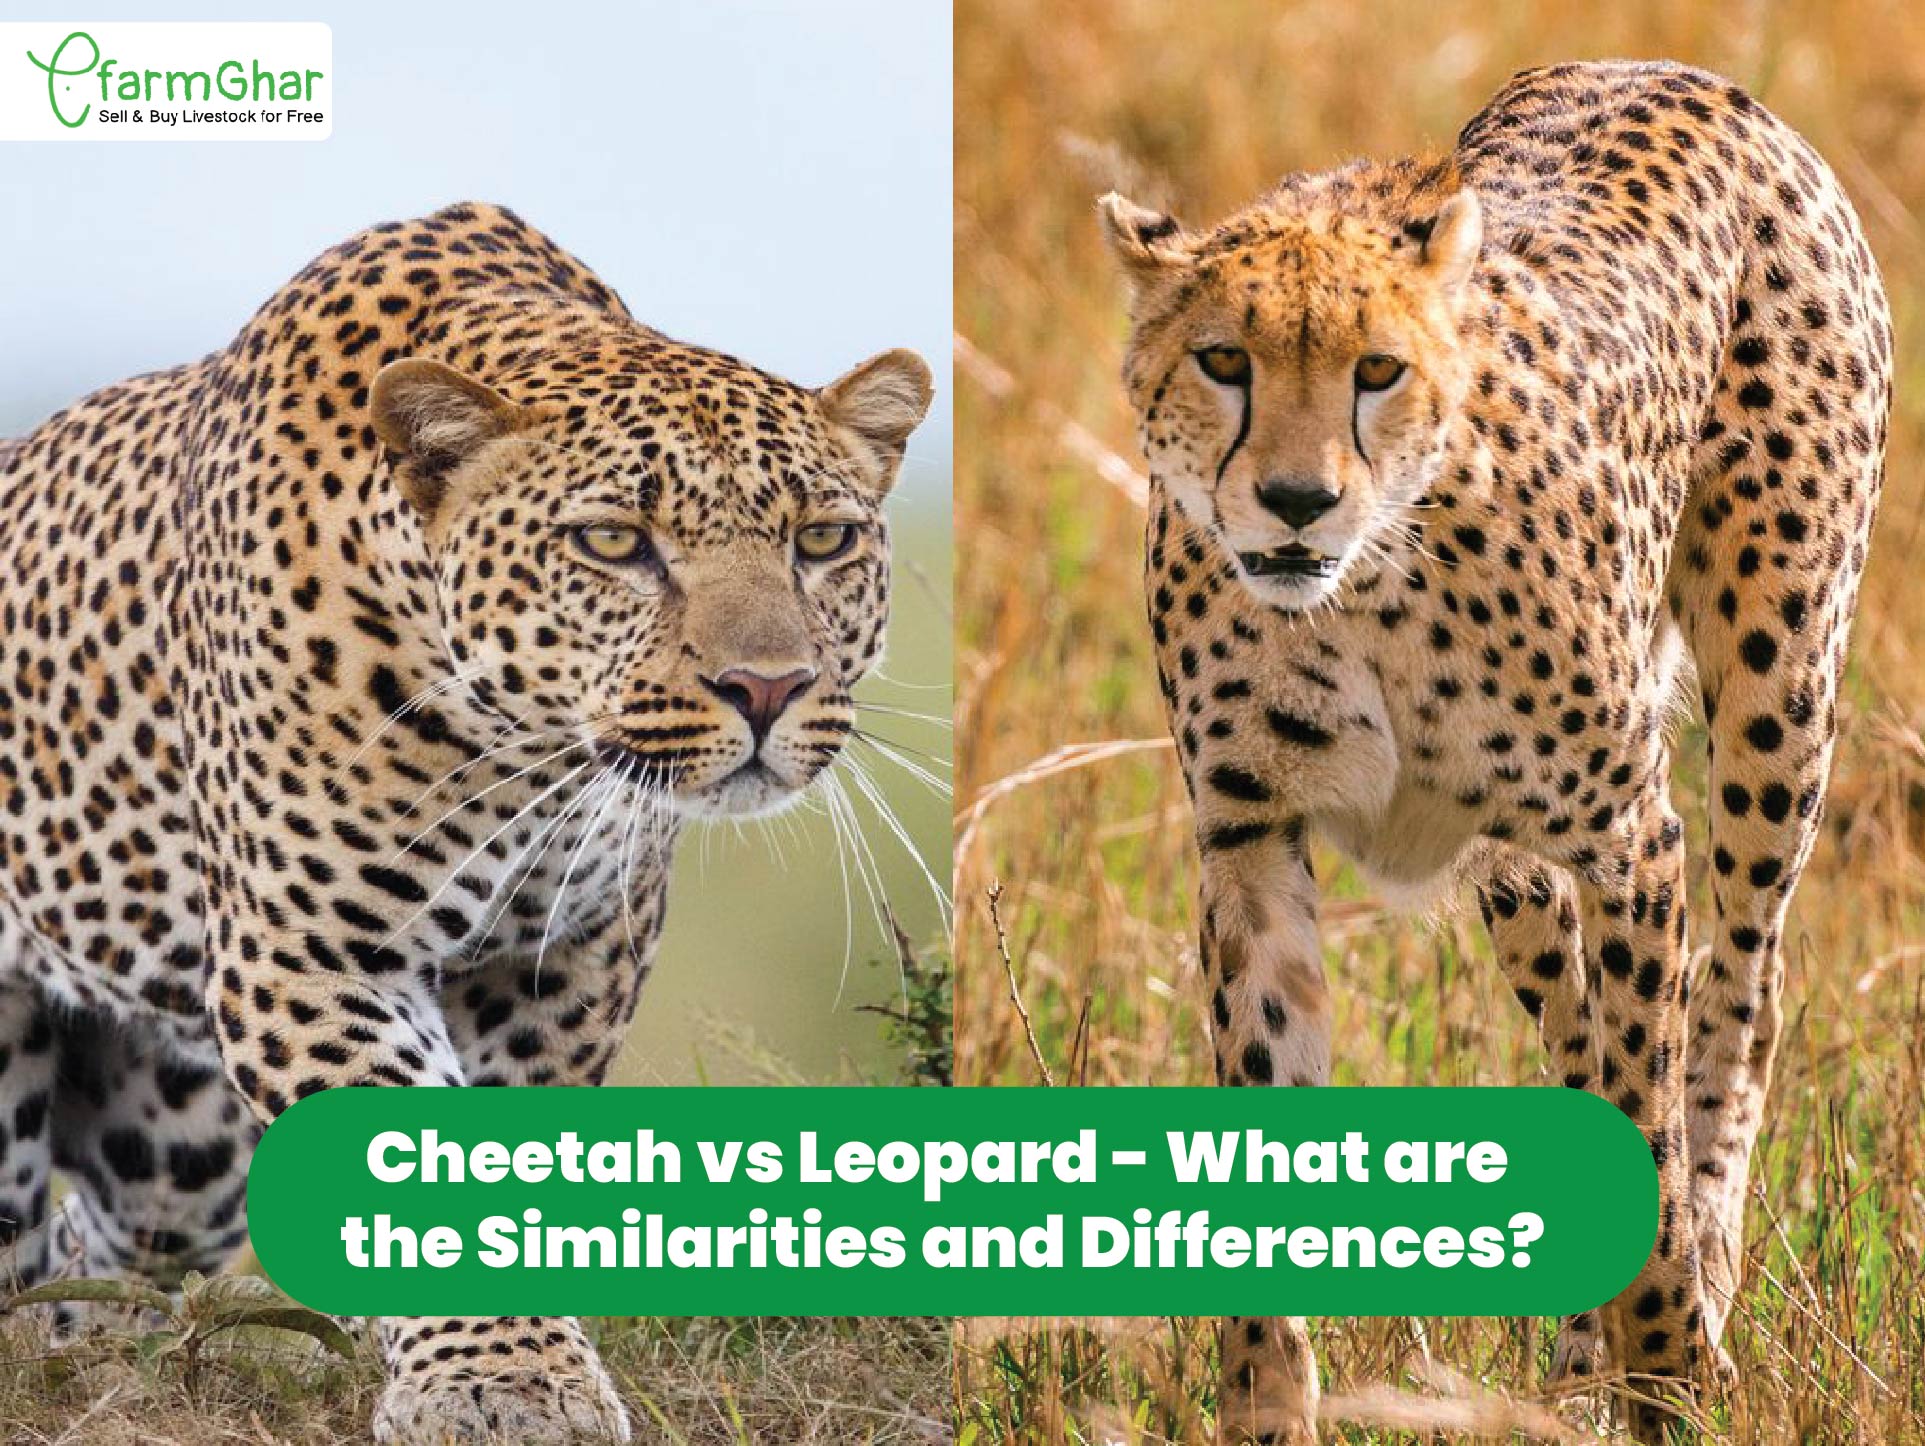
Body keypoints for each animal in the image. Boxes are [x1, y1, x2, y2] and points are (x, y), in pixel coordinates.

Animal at [0, 200, 932, 1441]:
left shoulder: (568, 964)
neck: (517, 748)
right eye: (613, 543)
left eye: (822, 540)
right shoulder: (311, 956)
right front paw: (501, 1384)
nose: (767, 687)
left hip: (173, 1140)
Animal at [1099, 60, 1889, 1444]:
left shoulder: (1631, 840)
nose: (1295, 504)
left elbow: (1646, 1110)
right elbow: (1263, 1112)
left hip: (1778, 696)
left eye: (1375, 370)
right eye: (1221, 361)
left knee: (1738, 992)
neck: (1362, 593)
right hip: (1512, 874)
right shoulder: (1249, 842)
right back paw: (1578, 1358)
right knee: (1572, 1015)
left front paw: (1672, 1376)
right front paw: (1266, 1407)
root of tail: (1669, 69)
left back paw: (1695, 1297)